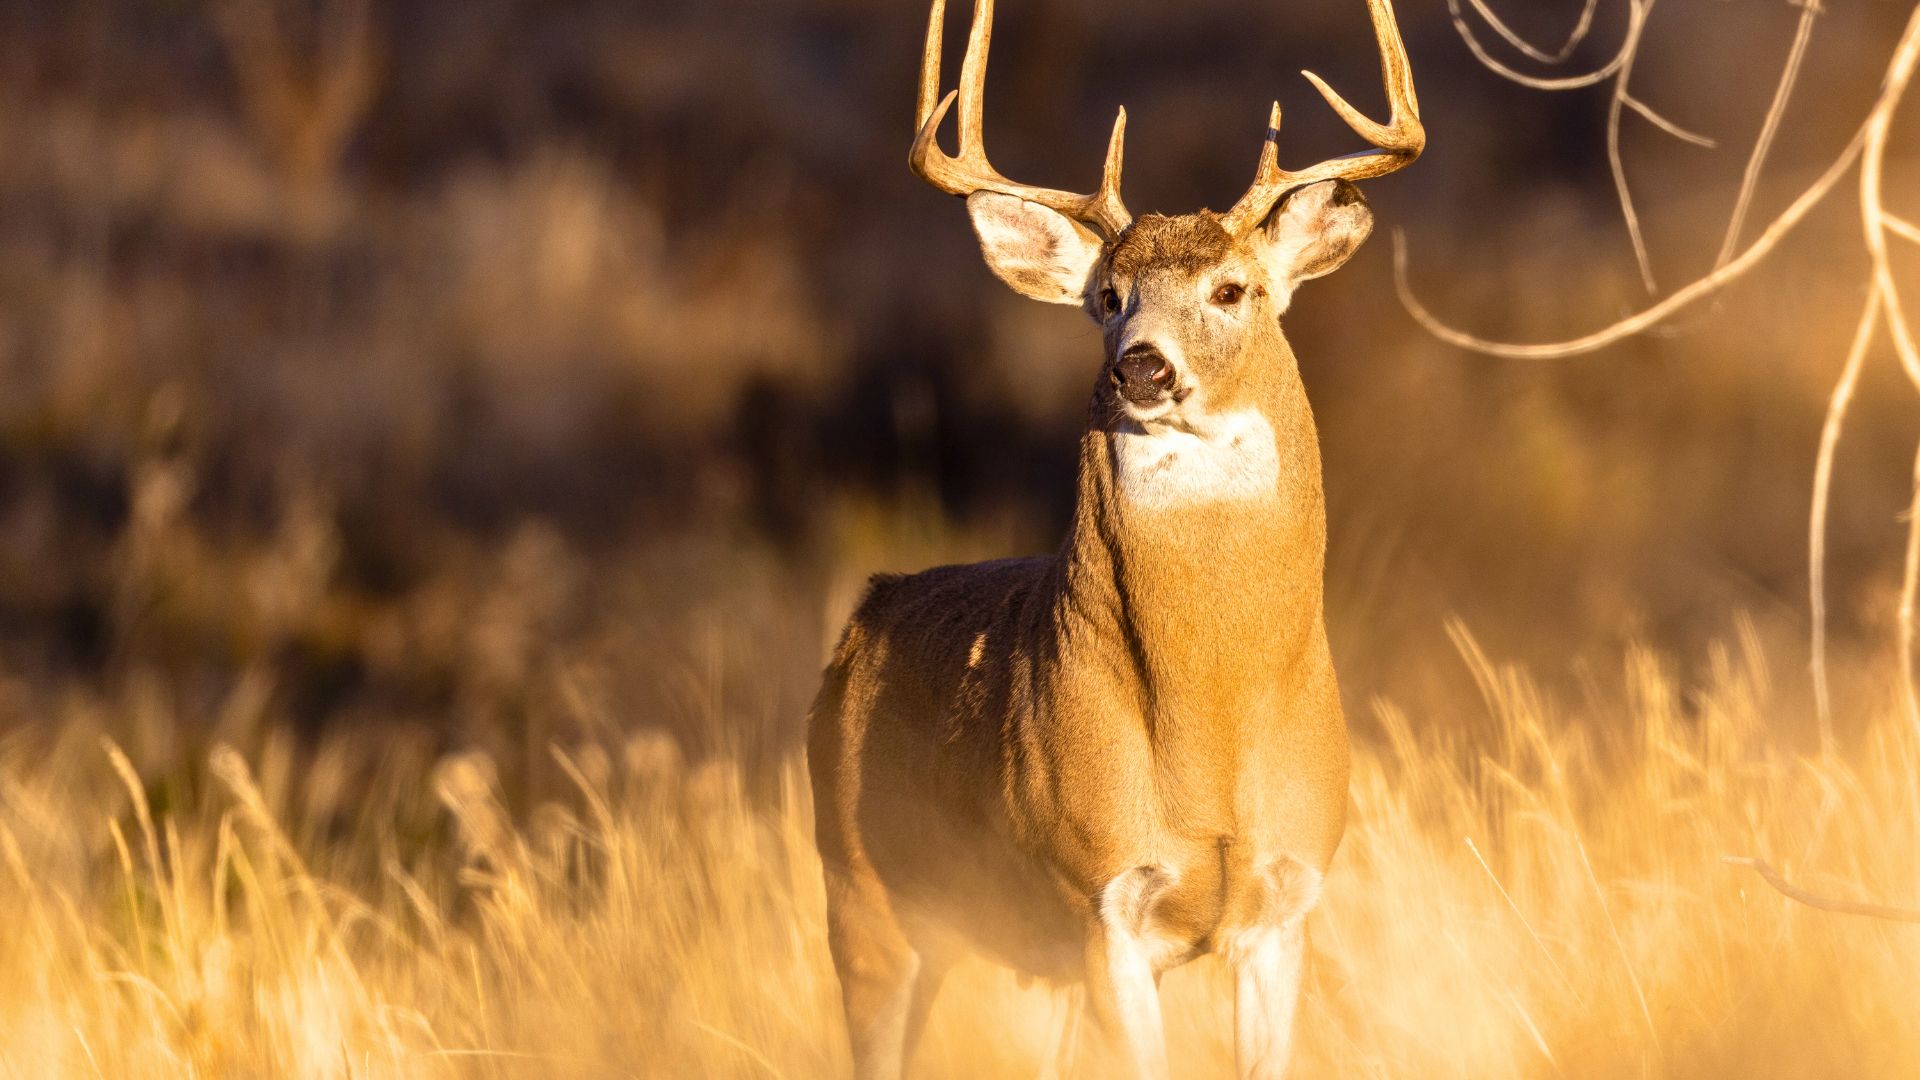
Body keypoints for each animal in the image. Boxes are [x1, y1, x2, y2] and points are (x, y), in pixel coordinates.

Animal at [806, 0, 1422, 1076]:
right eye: (1107, 297)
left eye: (1231, 290)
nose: (1141, 368)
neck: (1213, 732)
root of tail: (860, 622)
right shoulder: (1100, 899)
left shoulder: (1287, 900)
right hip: (863, 895)